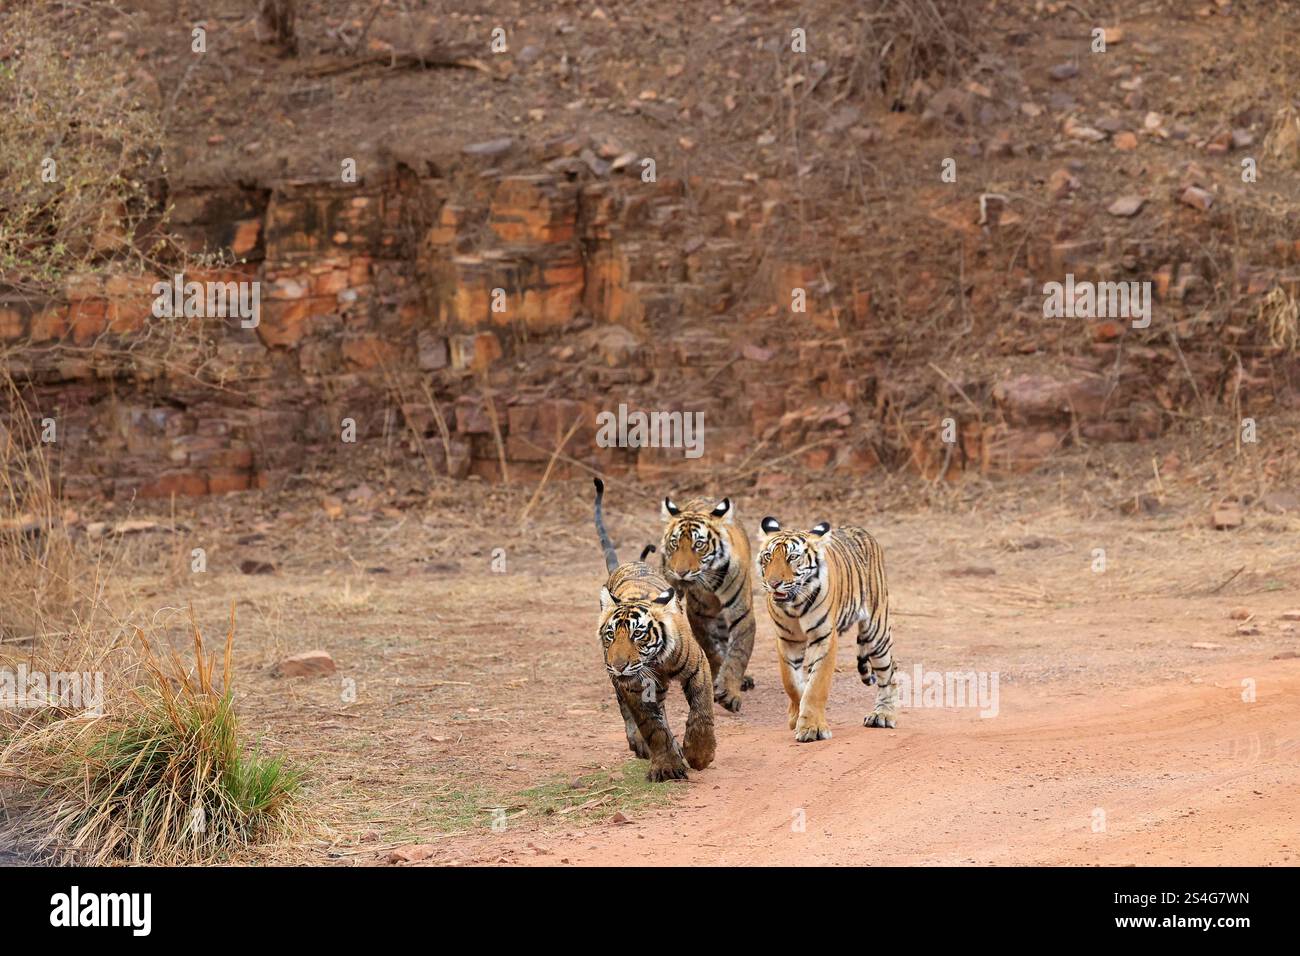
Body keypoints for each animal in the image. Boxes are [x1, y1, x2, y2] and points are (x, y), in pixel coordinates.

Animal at [593, 479, 716, 781]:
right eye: (611, 635)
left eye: (638, 634)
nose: (619, 666)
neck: (655, 662)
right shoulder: (634, 687)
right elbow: (653, 728)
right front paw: (667, 766)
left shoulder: (698, 666)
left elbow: (702, 710)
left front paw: (700, 754)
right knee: (628, 710)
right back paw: (640, 744)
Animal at [659, 495, 757, 712]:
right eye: (675, 543)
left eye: (699, 545)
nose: (681, 572)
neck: (712, 578)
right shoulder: (699, 614)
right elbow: (712, 648)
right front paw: (717, 678)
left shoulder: (742, 613)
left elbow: (737, 654)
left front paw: (729, 693)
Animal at [756, 516, 899, 742]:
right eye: (768, 556)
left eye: (793, 557)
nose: (773, 583)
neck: (795, 604)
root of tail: (859, 529)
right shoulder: (787, 640)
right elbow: (792, 683)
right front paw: (796, 716)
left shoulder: (824, 638)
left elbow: (816, 685)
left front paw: (812, 728)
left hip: (876, 633)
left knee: (889, 674)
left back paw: (883, 715)